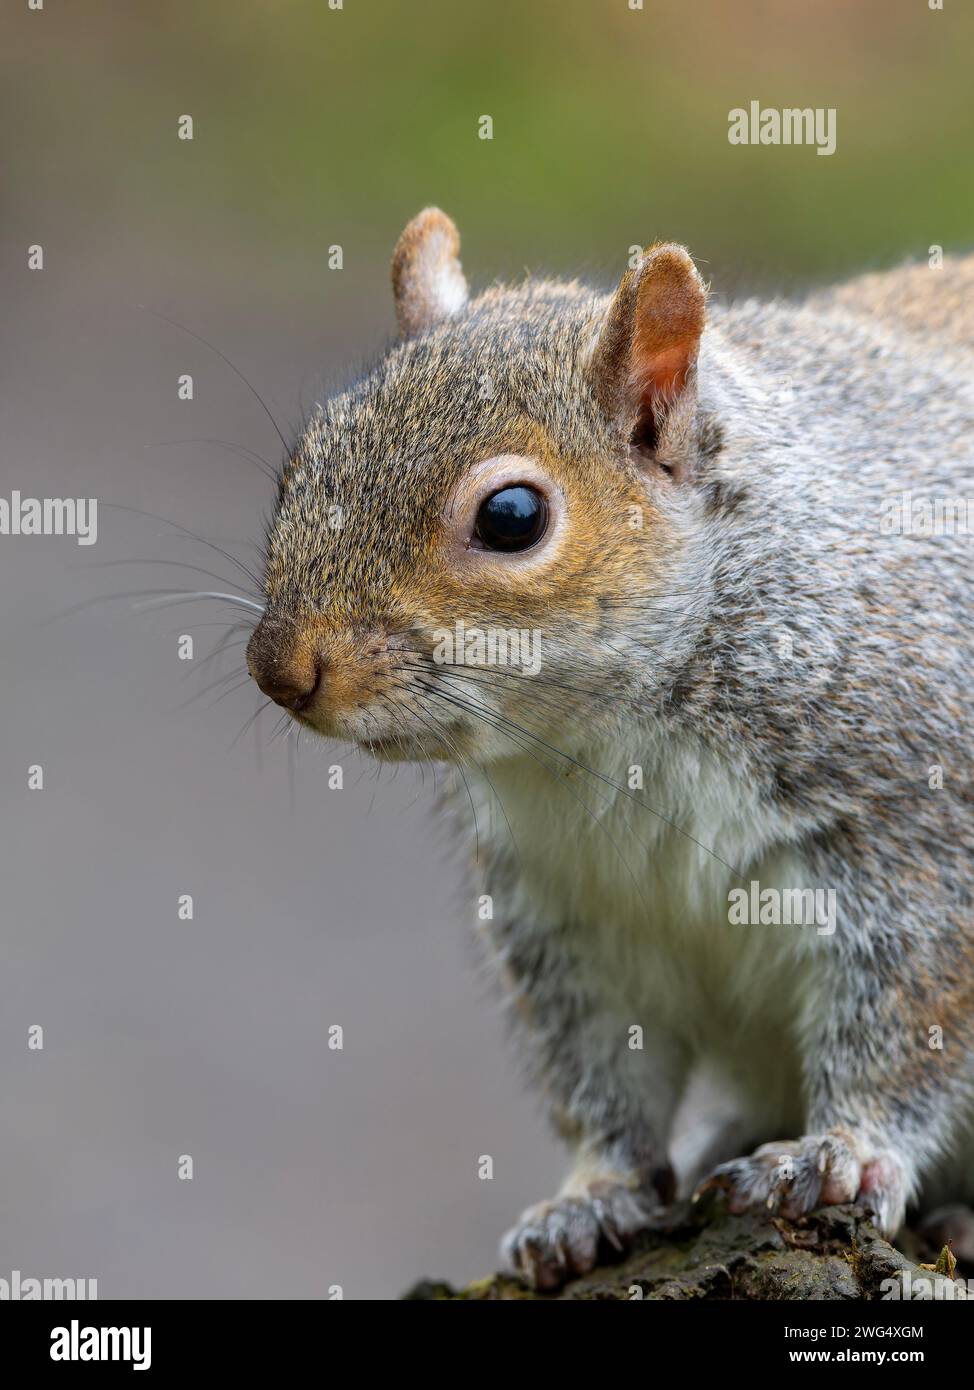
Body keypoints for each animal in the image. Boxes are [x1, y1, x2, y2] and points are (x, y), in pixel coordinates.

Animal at [246, 208, 974, 1291]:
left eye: (512, 517)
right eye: (301, 467)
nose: (280, 667)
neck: (610, 743)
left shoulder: (917, 833)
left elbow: (906, 1023)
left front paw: (836, 1153)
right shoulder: (572, 916)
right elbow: (600, 1066)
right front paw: (591, 1196)